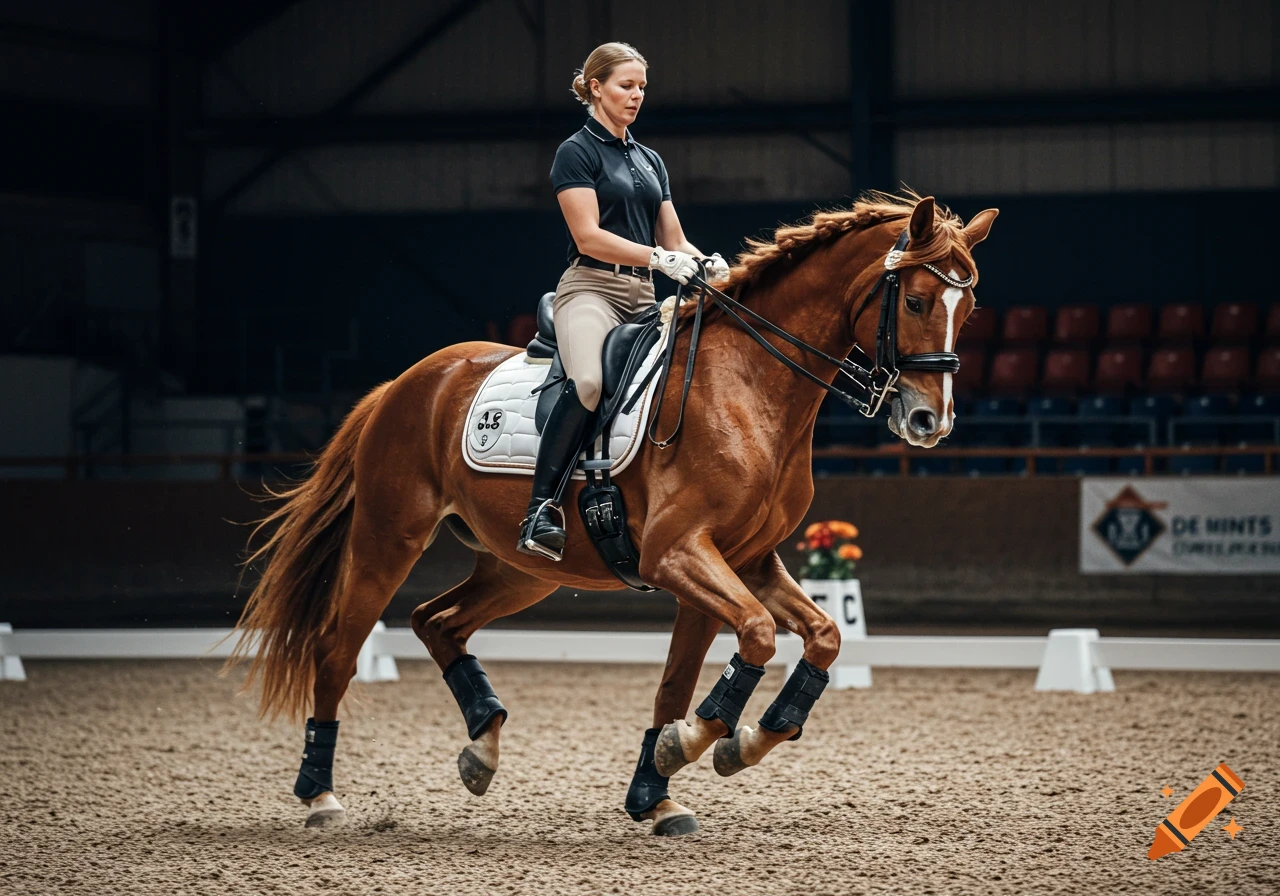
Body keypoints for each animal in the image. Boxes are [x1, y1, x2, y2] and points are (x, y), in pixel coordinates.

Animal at [229, 191, 997, 834]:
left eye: (968, 311)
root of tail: (403, 382)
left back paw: (482, 746)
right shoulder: (678, 553)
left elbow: (793, 646)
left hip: (521, 567)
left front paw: (676, 778)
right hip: (389, 537)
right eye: (919, 301)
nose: (930, 421)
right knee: (337, 648)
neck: (751, 384)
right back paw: (320, 793)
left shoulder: (744, 562)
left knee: (435, 620)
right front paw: (690, 748)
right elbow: (752, 637)